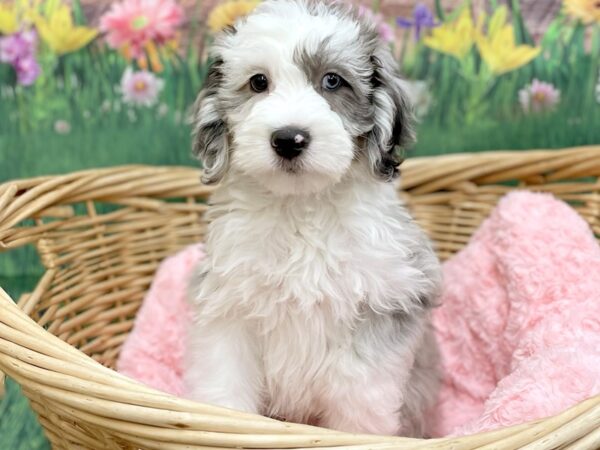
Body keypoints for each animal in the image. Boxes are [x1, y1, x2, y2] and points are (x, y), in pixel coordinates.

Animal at [185, 0, 442, 436]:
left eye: (333, 81)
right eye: (258, 82)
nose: (289, 139)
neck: (300, 209)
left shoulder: (384, 303)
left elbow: (361, 396)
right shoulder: (228, 308)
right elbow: (226, 386)